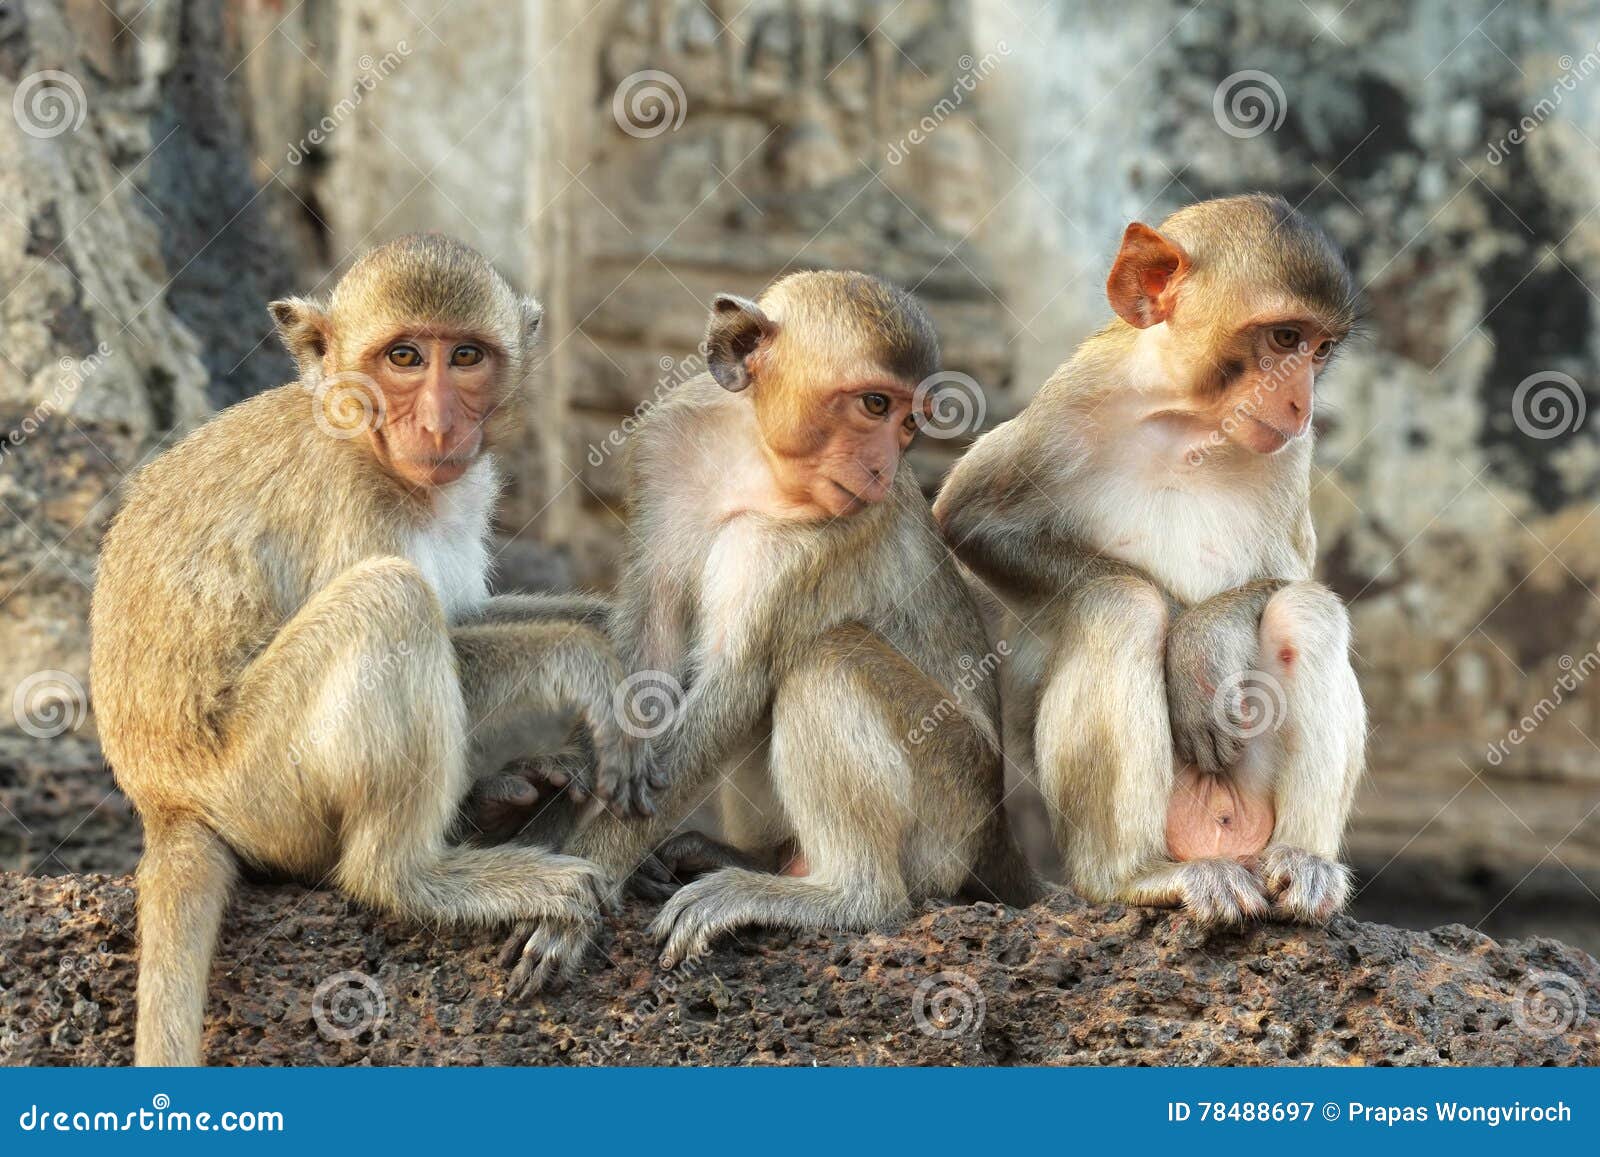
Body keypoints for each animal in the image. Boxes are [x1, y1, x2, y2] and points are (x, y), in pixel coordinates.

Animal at [89, 234, 653, 1066]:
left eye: (466, 356)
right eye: (405, 357)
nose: (440, 423)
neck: (368, 440)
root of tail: (165, 799)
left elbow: (473, 615)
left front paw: (609, 631)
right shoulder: (347, 495)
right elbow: (446, 630)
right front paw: (589, 664)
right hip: (260, 786)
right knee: (391, 602)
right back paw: (414, 877)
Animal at [503, 270, 1041, 983]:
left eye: (908, 423)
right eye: (875, 405)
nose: (884, 469)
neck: (755, 454)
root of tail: (998, 831)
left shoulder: (813, 535)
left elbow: (735, 685)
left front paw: (578, 889)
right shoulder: (664, 450)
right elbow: (650, 651)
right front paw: (561, 796)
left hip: (949, 812)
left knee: (828, 657)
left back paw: (841, 895)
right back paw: (754, 858)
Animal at [934, 195, 1365, 927]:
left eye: (1320, 349)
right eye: (1284, 338)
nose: (1302, 402)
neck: (1193, 420)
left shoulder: (1292, 453)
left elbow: (1293, 579)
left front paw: (1200, 641)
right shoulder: (1075, 397)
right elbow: (970, 519)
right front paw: (1182, 644)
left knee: (1308, 611)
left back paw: (1303, 862)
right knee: (1120, 606)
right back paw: (1135, 876)